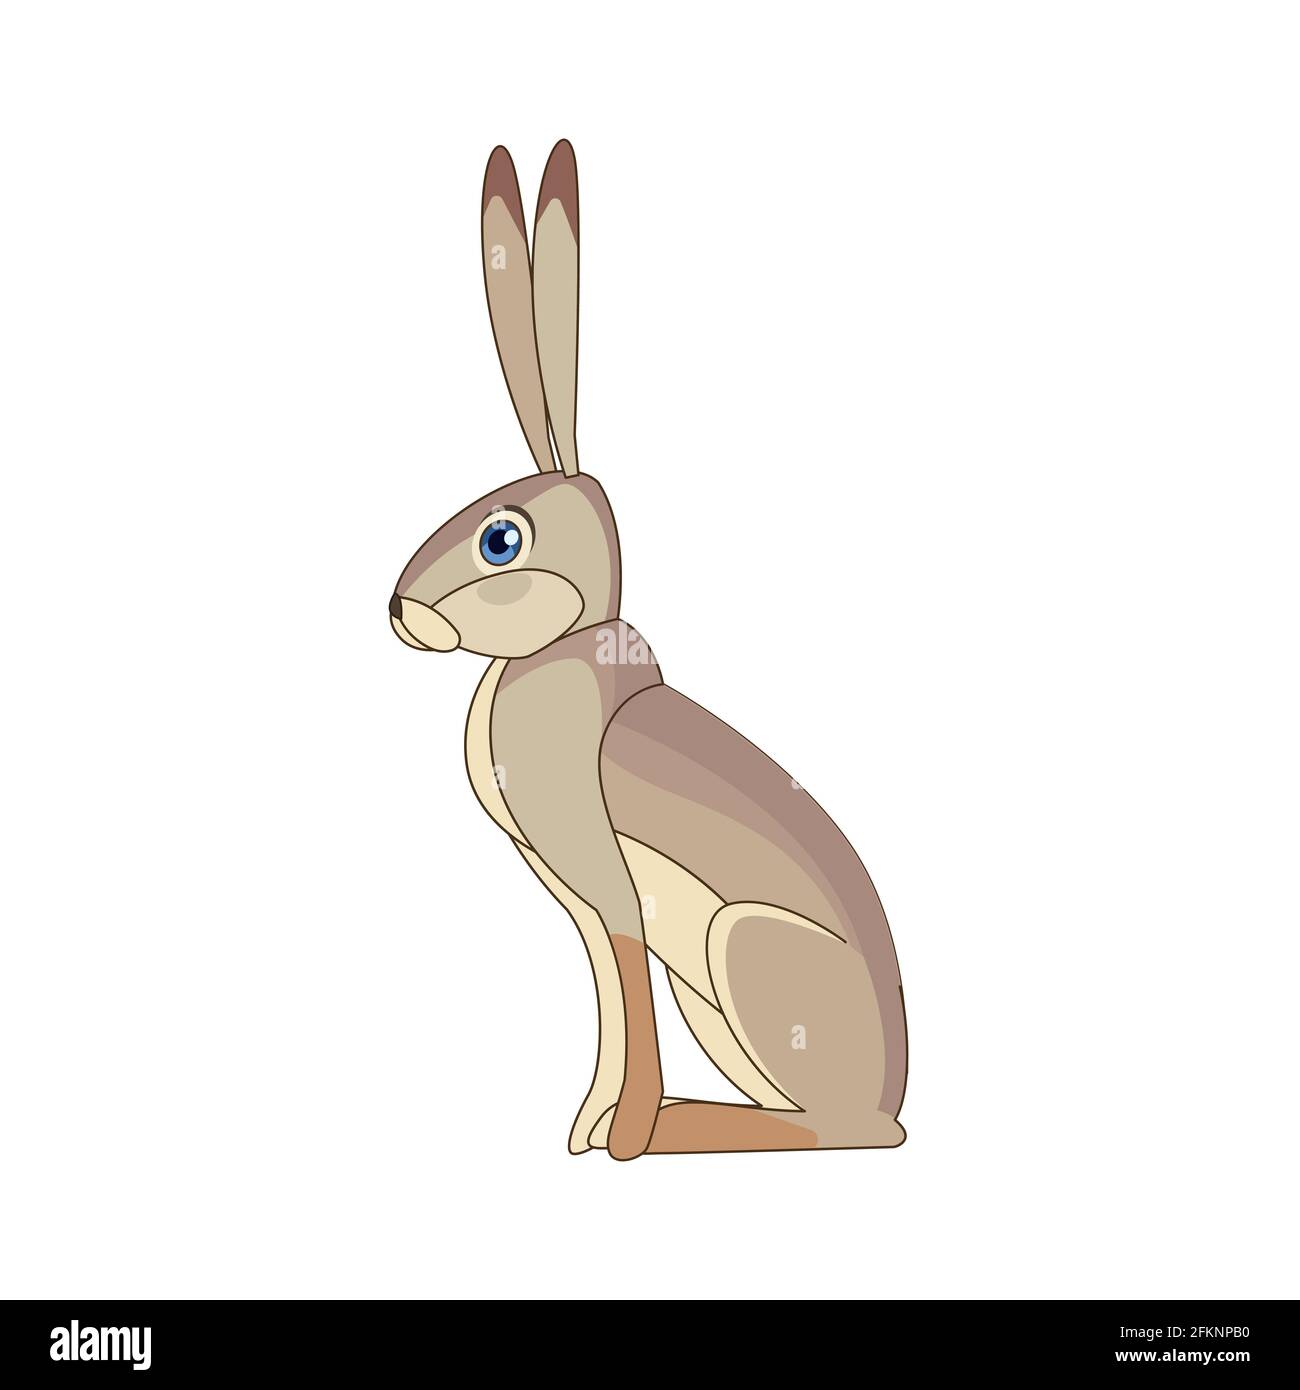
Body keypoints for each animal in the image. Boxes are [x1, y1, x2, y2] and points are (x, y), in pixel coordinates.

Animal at [389, 141, 907, 1159]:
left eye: (501, 539)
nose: (399, 611)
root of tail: (894, 1100)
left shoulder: (607, 879)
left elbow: (627, 987)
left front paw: (623, 1139)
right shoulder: (579, 902)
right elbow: (609, 1004)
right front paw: (589, 1129)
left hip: (738, 945)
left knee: (838, 1135)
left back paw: (690, 1128)